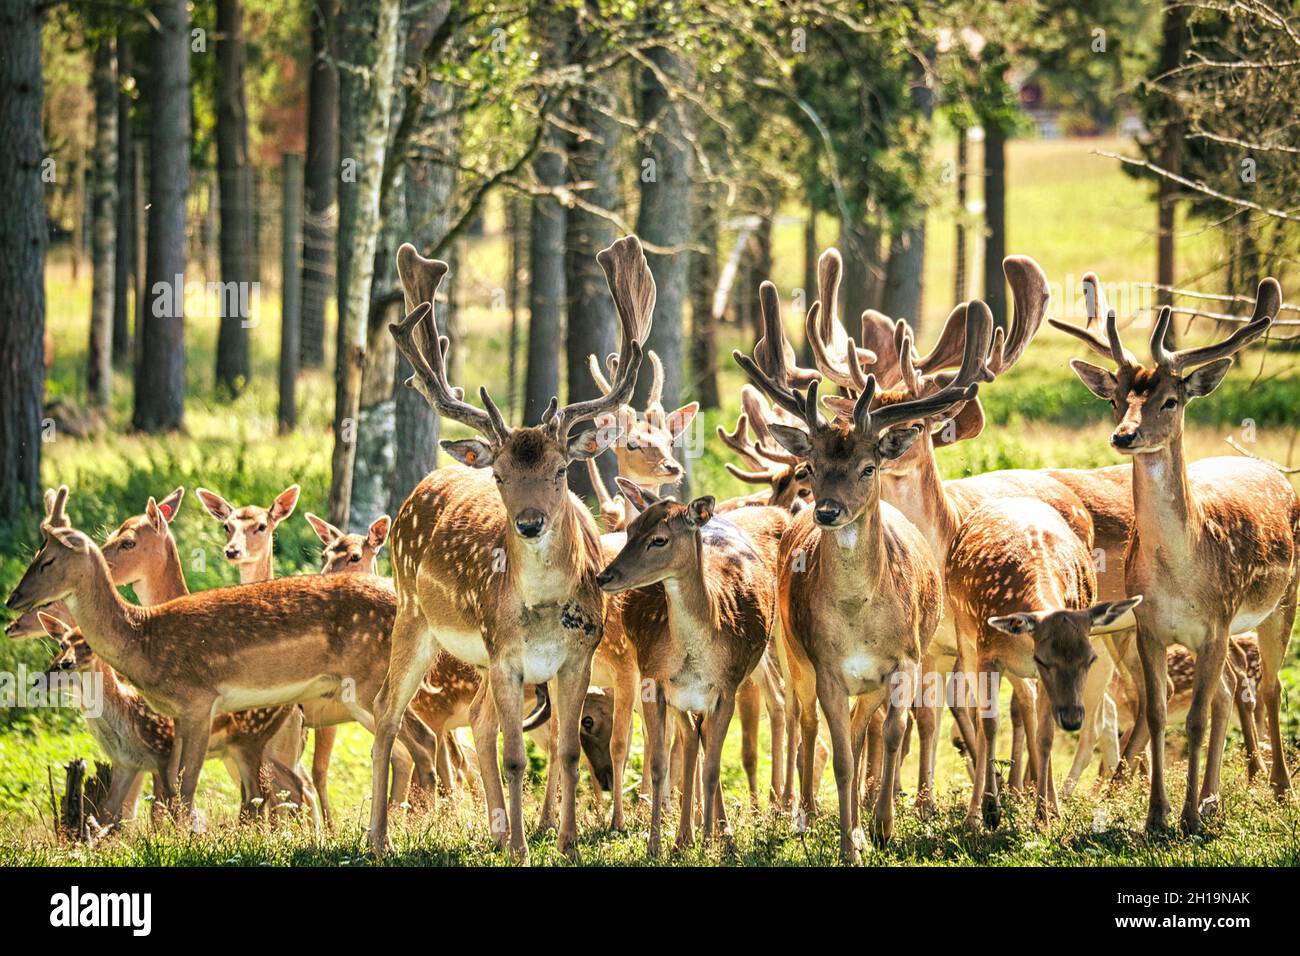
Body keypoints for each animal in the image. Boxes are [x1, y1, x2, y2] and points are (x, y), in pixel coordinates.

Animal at [368, 235, 653, 860]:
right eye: (500, 474)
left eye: (561, 469)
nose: (528, 522)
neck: (544, 612)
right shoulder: (505, 656)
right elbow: (519, 756)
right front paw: (526, 847)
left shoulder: (577, 657)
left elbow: (564, 750)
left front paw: (566, 843)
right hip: (414, 615)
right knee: (386, 713)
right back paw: (379, 840)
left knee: (476, 719)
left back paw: (496, 831)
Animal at [597, 479, 789, 855]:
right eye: (631, 529)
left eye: (659, 539)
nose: (604, 576)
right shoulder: (654, 682)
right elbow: (659, 764)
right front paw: (656, 844)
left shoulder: (727, 688)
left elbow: (714, 767)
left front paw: (713, 842)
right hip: (681, 700)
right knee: (689, 740)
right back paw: (686, 835)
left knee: (703, 745)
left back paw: (718, 833)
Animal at [733, 279, 986, 862]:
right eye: (814, 467)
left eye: (868, 467)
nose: (826, 511)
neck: (859, 623)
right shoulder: (826, 666)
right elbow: (843, 754)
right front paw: (850, 843)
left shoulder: (906, 659)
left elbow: (892, 735)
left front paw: (884, 825)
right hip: (793, 657)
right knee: (808, 725)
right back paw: (803, 815)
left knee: (861, 725)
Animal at [945, 496, 1142, 826]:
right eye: (1042, 658)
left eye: (1090, 659)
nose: (1073, 718)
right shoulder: (988, 655)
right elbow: (990, 725)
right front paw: (988, 809)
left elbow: (1045, 735)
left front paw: (1044, 816)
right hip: (965, 640)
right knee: (979, 718)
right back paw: (979, 811)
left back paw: (1052, 805)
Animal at [1054, 281, 1297, 831]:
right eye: (1117, 399)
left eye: (1169, 400)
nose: (1123, 435)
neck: (1180, 577)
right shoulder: (1149, 628)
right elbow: (1160, 711)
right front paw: (1158, 815)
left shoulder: (1216, 622)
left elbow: (1196, 718)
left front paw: (1185, 818)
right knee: (1232, 687)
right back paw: (1213, 799)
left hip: (1281, 603)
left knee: (1270, 687)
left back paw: (1278, 789)